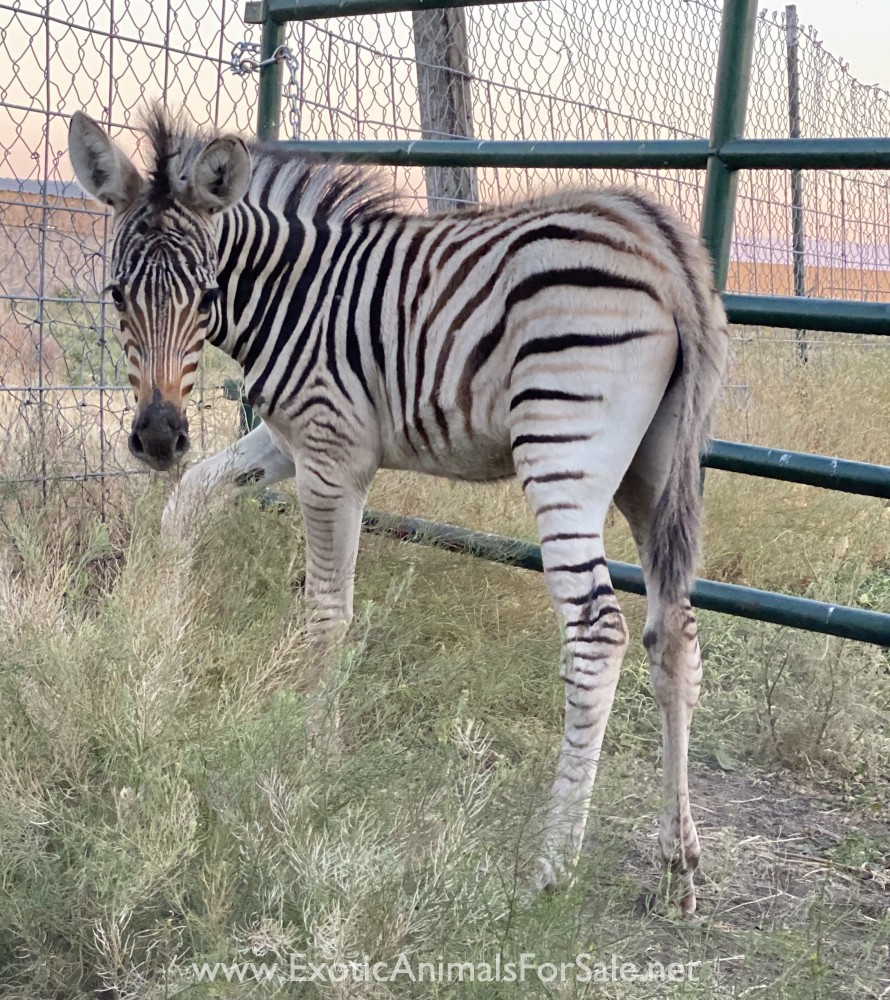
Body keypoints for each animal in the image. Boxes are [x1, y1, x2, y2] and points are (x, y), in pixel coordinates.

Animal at [68, 106, 729, 914]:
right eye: (116, 293)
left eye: (205, 291)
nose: (160, 438)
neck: (291, 295)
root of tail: (663, 246)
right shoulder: (287, 438)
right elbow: (189, 502)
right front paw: (161, 639)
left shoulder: (332, 454)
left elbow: (327, 609)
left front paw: (311, 758)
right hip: (654, 471)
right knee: (676, 637)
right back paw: (679, 864)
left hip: (563, 452)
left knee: (598, 633)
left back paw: (552, 868)